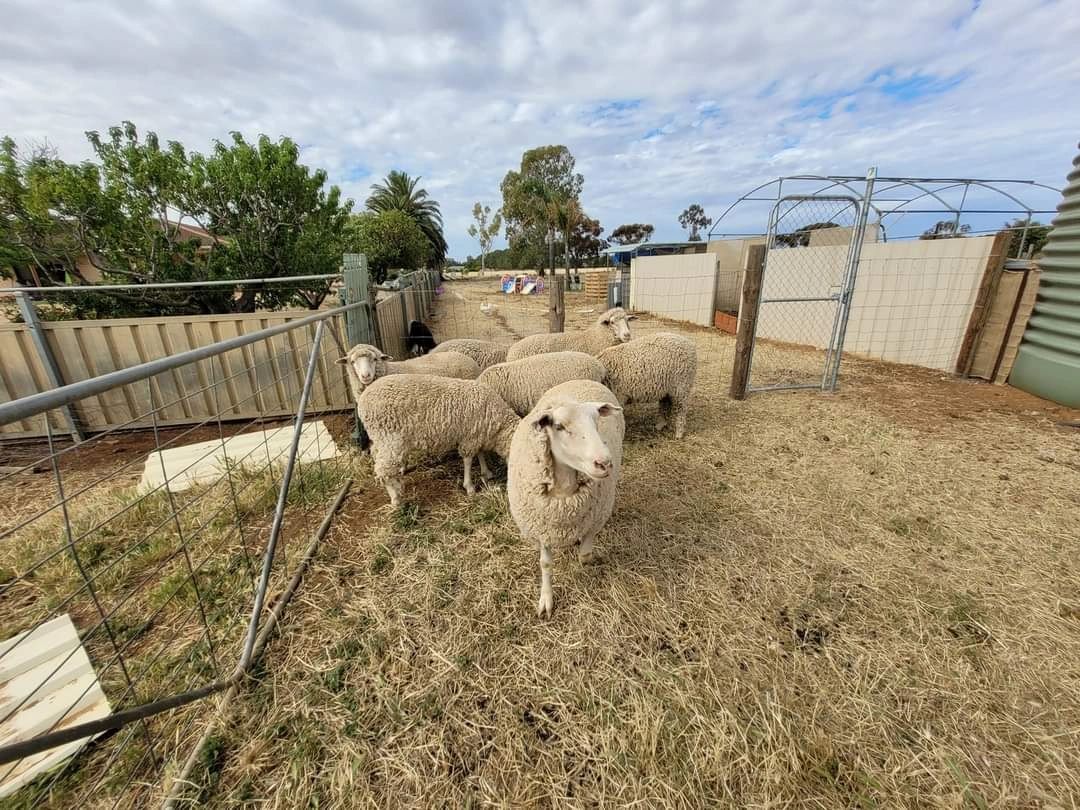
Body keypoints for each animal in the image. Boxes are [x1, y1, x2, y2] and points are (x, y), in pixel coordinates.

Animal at [357, 374, 519, 507]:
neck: (498, 427)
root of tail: (362, 401)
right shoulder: (469, 438)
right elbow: (468, 460)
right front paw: (470, 487)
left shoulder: (477, 434)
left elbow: (480, 454)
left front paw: (486, 472)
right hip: (390, 437)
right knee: (384, 469)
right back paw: (396, 499)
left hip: (380, 438)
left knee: (378, 458)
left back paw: (398, 485)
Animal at [507, 379, 625, 618]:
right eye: (559, 426)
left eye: (596, 422)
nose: (605, 463)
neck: (564, 499)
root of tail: (582, 380)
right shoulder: (542, 528)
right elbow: (545, 564)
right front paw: (546, 600)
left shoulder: (593, 521)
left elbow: (585, 555)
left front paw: (588, 566)